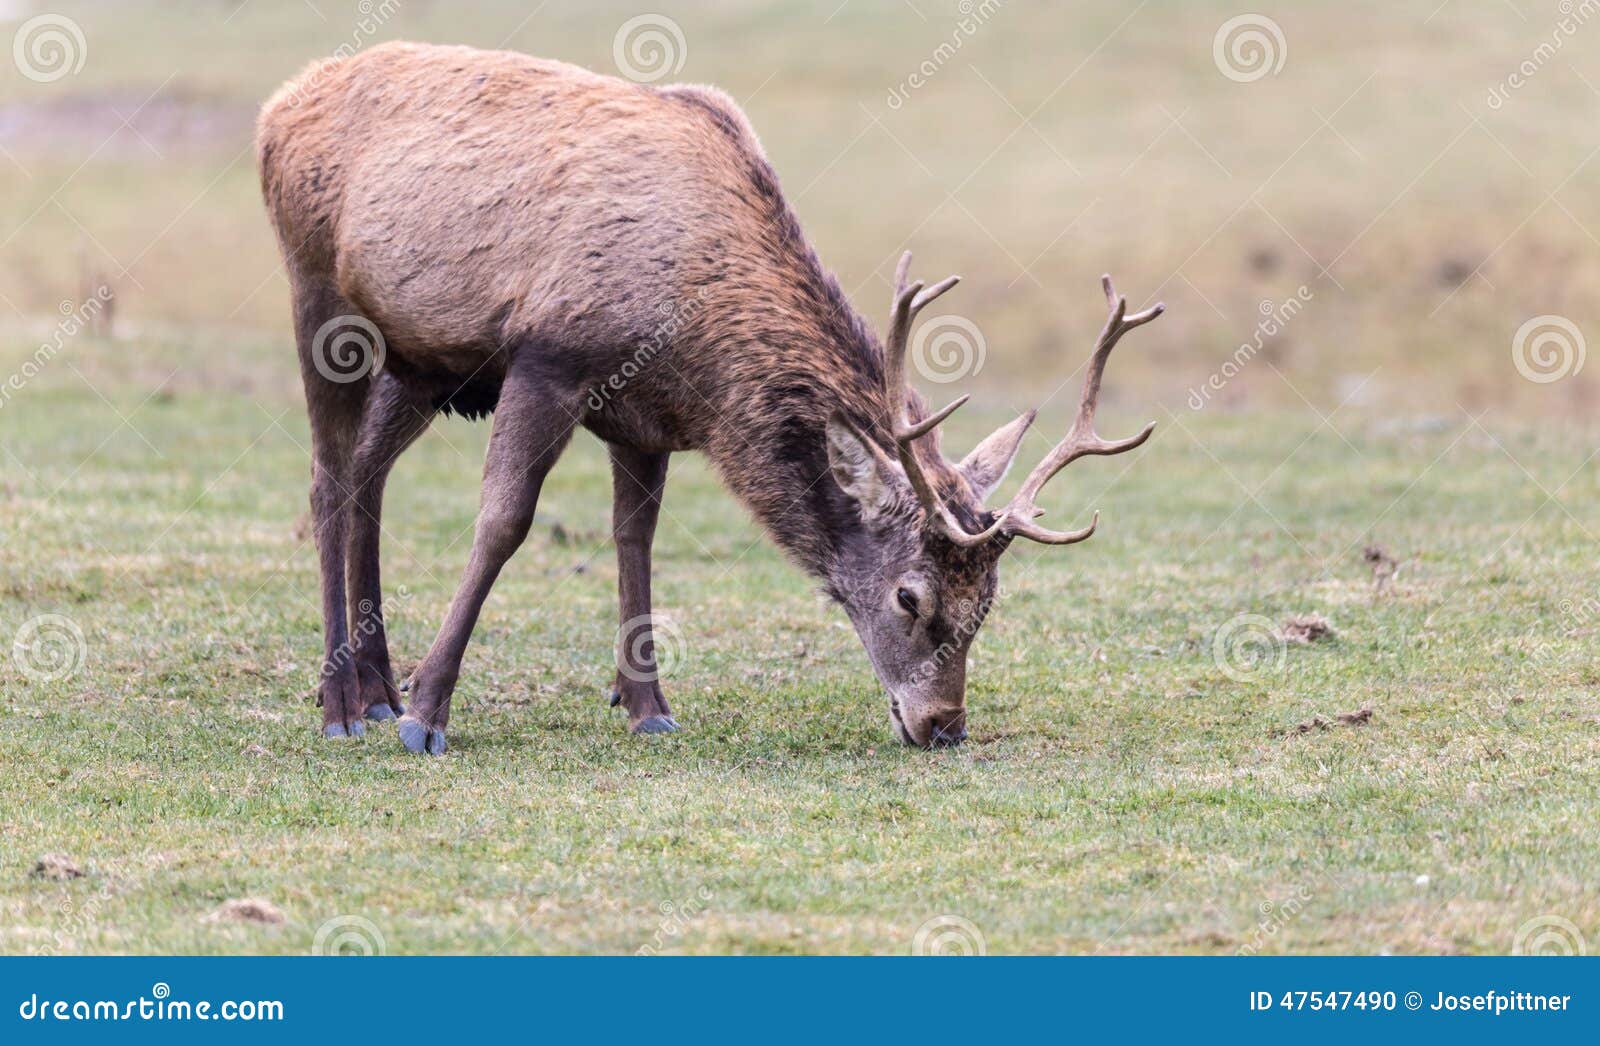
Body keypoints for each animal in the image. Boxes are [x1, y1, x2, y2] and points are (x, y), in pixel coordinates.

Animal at [255, 42, 1163, 755]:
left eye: (988, 605)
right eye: (911, 596)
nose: (943, 726)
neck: (699, 339)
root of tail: (278, 105)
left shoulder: (644, 416)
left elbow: (635, 539)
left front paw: (646, 704)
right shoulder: (552, 358)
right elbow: (504, 522)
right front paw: (431, 713)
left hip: (424, 362)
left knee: (367, 474)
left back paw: (376, 688)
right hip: (319, 298)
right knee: (327, 477)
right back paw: (344, 704)